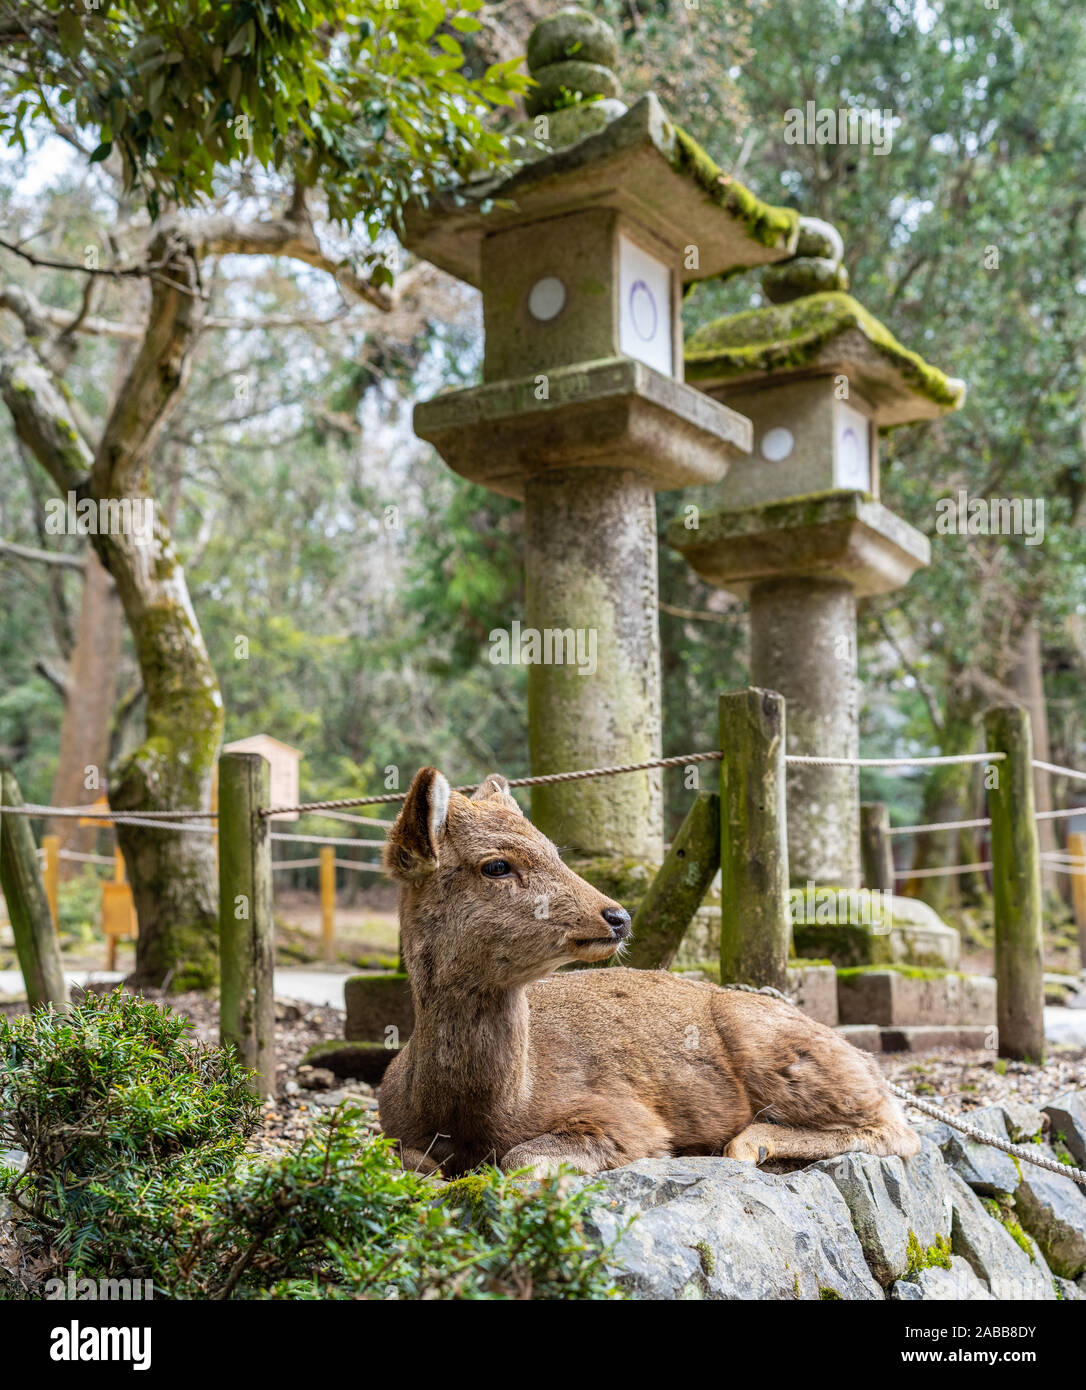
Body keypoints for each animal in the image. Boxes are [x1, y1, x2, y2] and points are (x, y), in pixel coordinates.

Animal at [377, 766, 921, 1179]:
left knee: (900, 1127)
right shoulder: (391, 1126)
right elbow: (410, 1160)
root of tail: (863, 1058)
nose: (617, 916)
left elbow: (520, 1157)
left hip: (778, 1047)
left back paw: (750, 1143)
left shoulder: (625, 1115)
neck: (473, 1116)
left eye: (555, 850)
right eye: (496, 866)